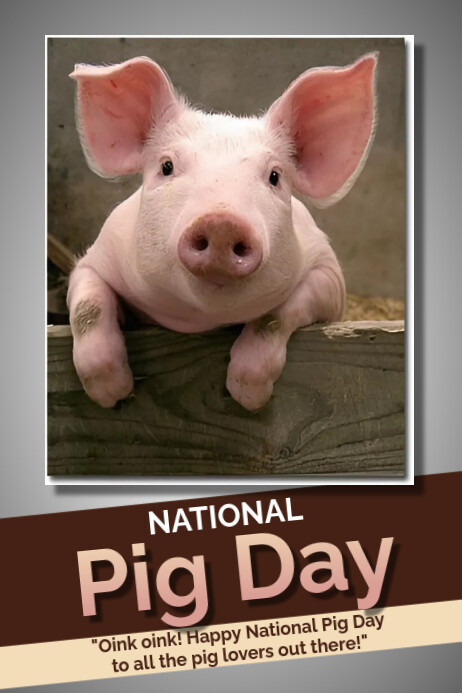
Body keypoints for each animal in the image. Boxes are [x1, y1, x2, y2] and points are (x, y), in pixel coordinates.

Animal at [67, 53, 377, 411]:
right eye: (167, 166)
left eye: (274, 176)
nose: (222, 222)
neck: (201, 318)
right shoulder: (93, 261)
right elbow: (89, 309)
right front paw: (113, 395)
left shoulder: (328, 276)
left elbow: (274, 317)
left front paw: (247, 396)